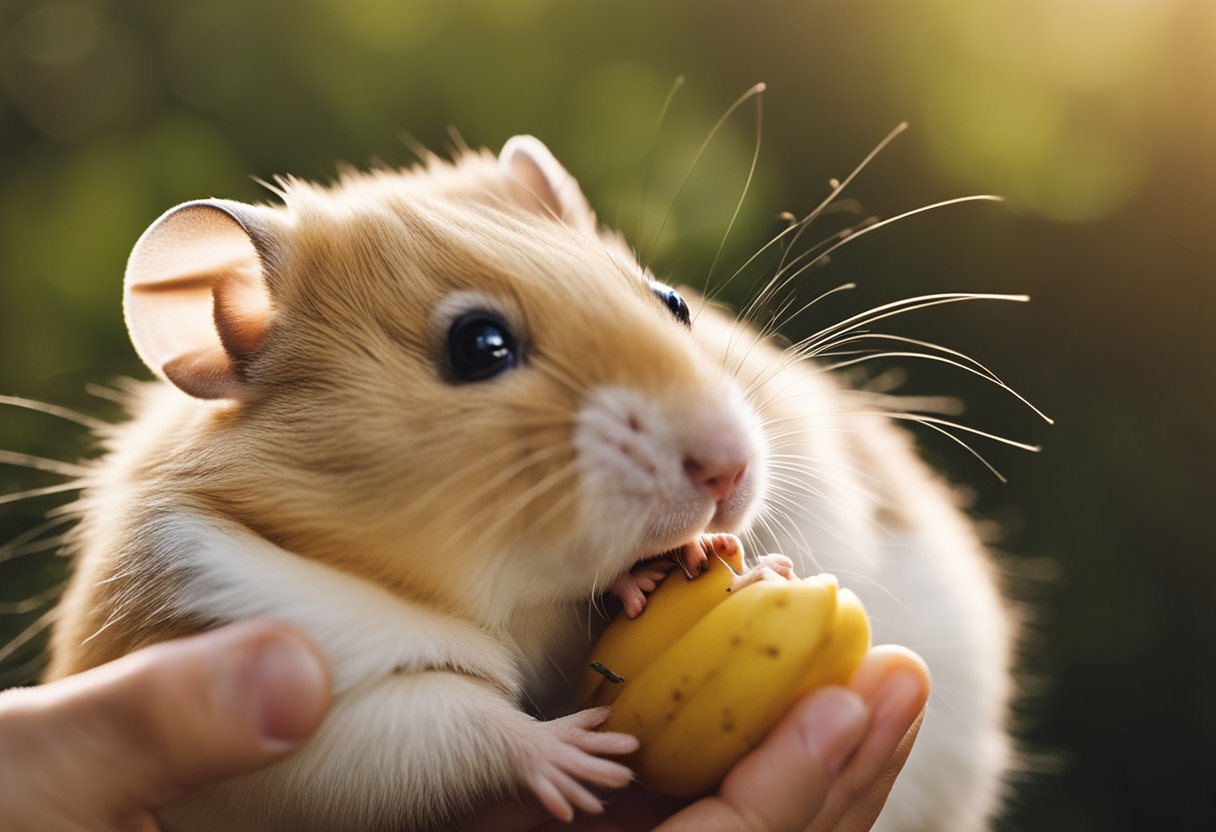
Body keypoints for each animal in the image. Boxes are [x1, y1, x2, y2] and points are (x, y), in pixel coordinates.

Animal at [45, 135, 1013, 831]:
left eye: (671, 302)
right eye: (479, 347)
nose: (729, 471)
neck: (508, 597)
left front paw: (687, 564)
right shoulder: (261, 658)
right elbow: (435, 727)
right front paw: (566, 756)